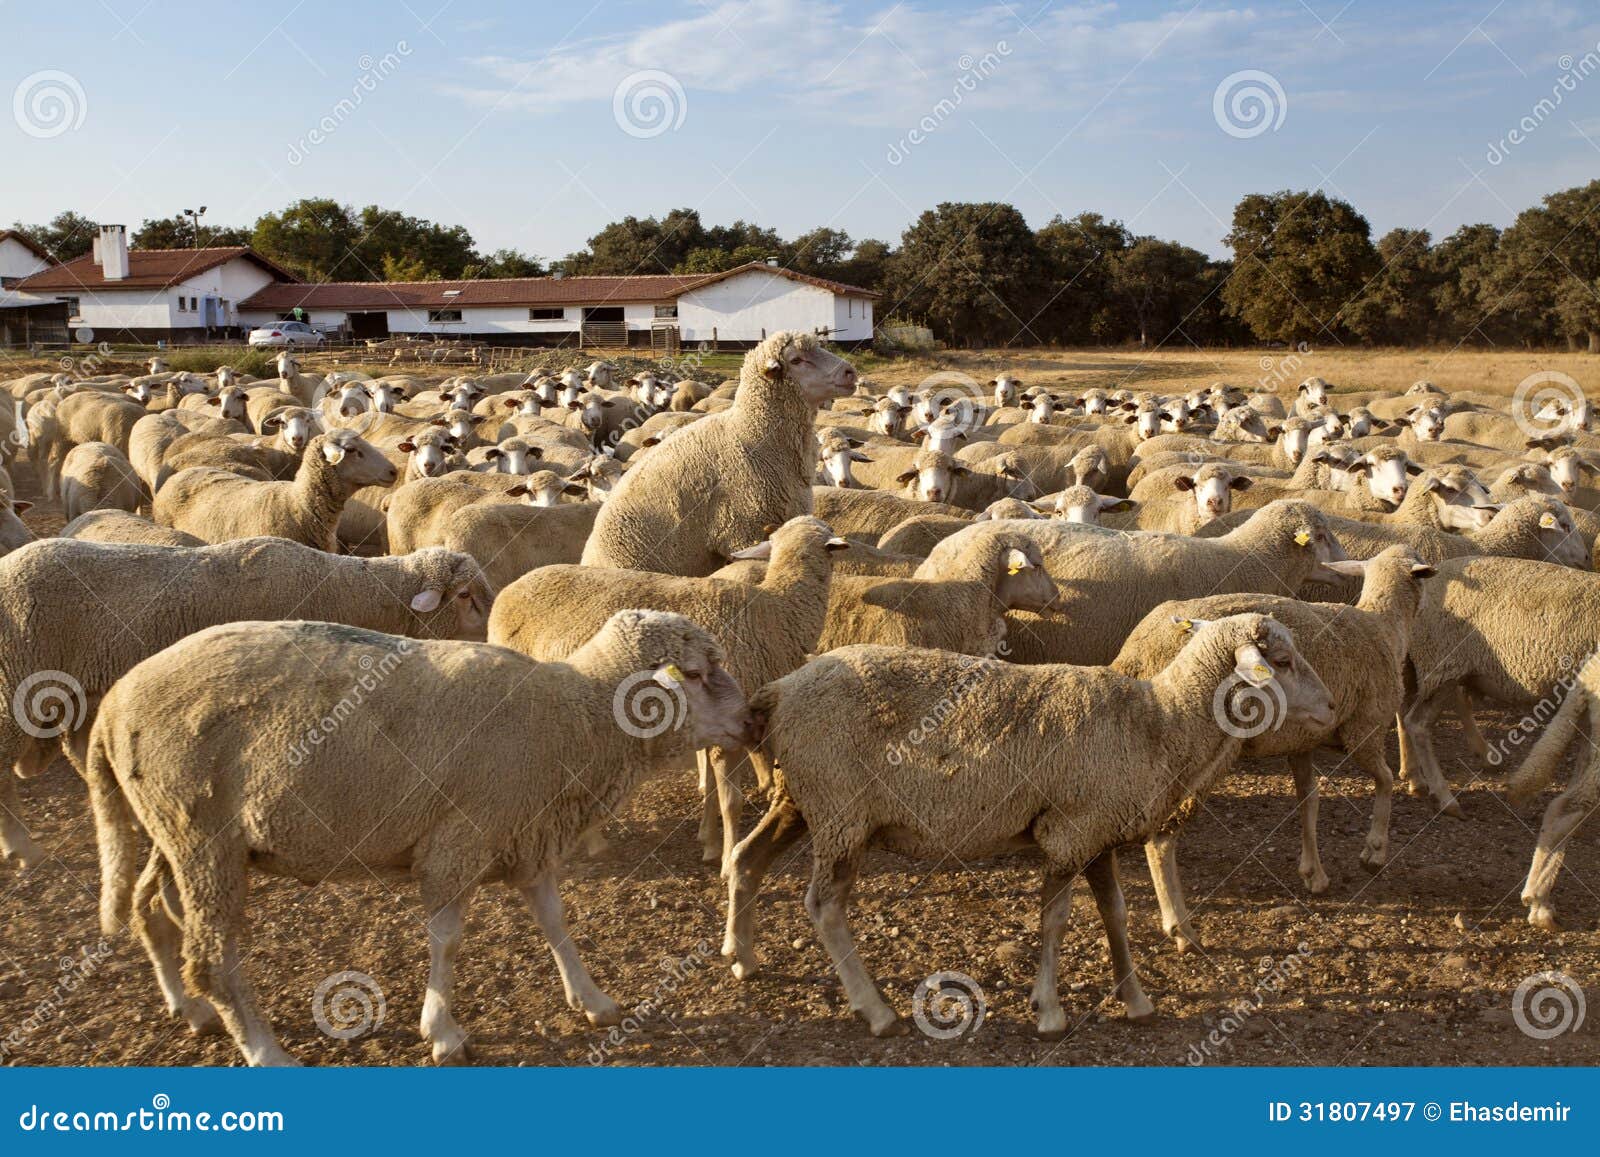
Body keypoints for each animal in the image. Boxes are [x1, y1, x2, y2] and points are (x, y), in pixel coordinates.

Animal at [0, 538, 492, 873]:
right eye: (465, 595)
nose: (495, 640)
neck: (351, 595)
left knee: (81, 751)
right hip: (14, 688)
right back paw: (25, 849)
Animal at [87, 609, 753, 1065]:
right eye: (696, 674)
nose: (753, 720)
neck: (574, 716)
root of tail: (112, 704)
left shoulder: (525, 836)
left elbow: (555, 923)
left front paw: (593, 1000)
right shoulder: (457, 844)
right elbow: (448, 942)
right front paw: (444, 1032)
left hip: (171, 833)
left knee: (151, 911)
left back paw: (192, 1010)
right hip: (205, 843)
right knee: (212, 958)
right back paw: (264, 1050)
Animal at [490, 516, 847, 869]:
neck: (777, 611)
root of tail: (507, 592)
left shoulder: (714, 722)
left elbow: (711, 790)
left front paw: (708, 841)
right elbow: (731, 801)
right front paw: (728, 856)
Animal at [722, 613, 1333, 1035]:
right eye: (1281, 661)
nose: (1330, 709)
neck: (1162, 723)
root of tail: (781, 689)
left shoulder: (1100, 832)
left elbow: (1114, 915)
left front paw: (1135, 1000)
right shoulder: (1070, 831)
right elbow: (1056, 920)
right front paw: (1049, 1012)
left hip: (802, 800)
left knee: (746, 858)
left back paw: (744, 958)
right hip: (841, 810)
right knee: (823, 905)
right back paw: (876, 1011)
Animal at [1111, 547, 1435, 951]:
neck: (1383, 626)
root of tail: (1137, 653)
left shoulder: (1302, 742)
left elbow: (1309, 801)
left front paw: (1313, 873)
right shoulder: (1364, 729)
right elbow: (1386, 780)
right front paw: (1374, 851)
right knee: (1161, 840)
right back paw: (1181, 928)